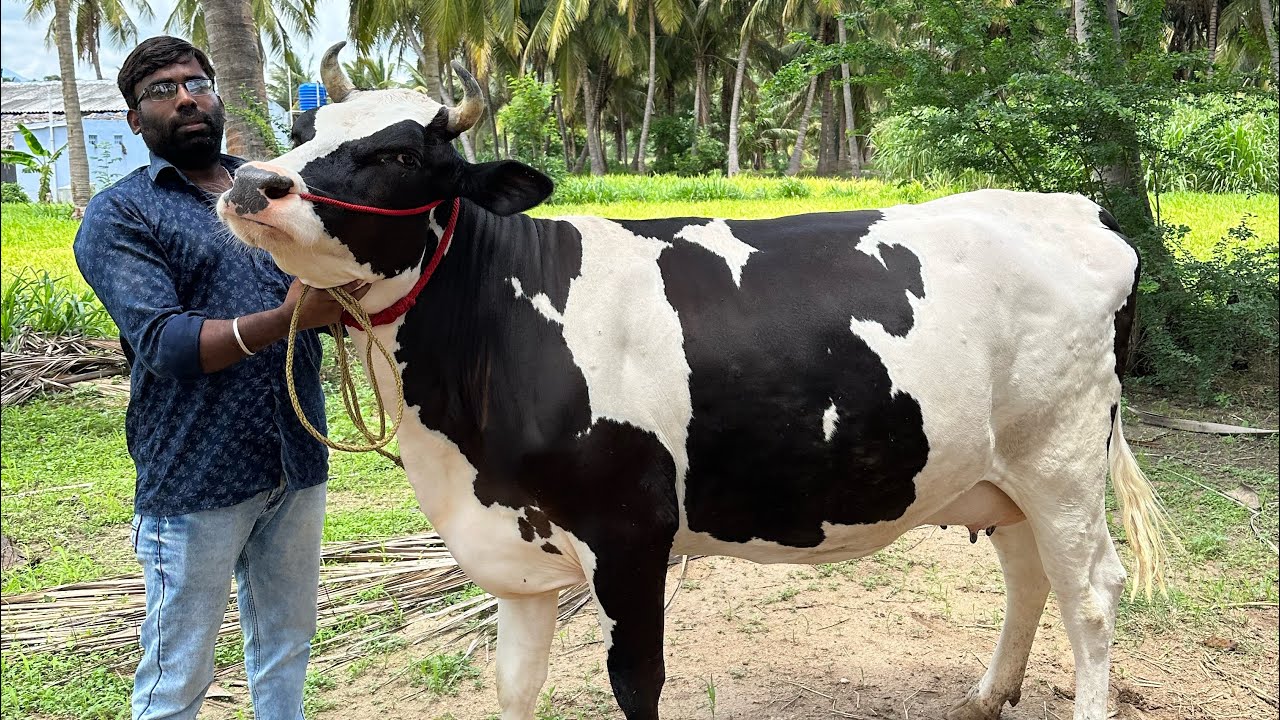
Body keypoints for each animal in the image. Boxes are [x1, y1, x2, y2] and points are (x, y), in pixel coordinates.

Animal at [218, 42, 1170, 720]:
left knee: (1091, 596)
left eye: (400, 156)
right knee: (1028, 573)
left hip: (1063, 460)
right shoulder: (515, 551)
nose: (252, 182)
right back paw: (985, 695)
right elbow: (515, 687)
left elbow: (637, 682)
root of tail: (1073, 207)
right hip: (994, 470)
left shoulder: (628, 535)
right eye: (305, 131)